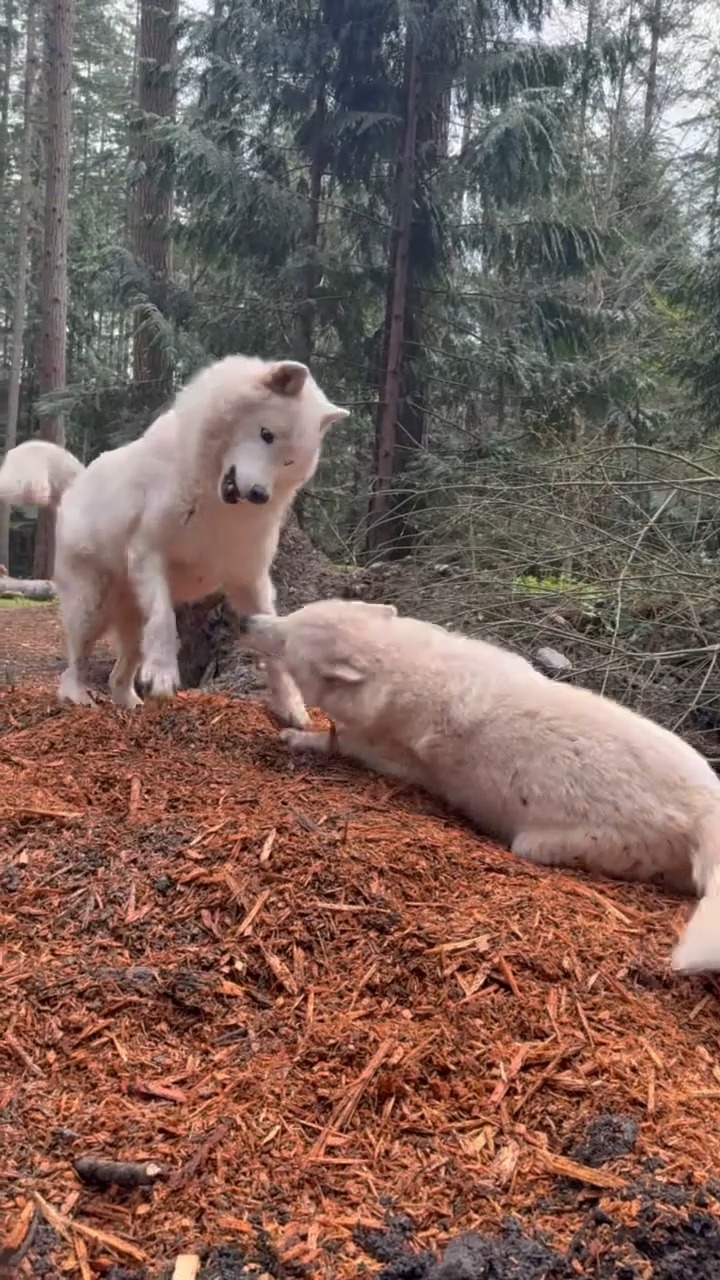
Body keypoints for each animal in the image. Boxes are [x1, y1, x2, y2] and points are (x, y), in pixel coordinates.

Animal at [0, 356, 348, 724]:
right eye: (266, 434)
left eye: (288, 461)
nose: (258, 494)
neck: (214, 508)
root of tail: (75, 484)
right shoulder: (148, 554)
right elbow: (165, 620)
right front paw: (164, 675)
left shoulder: (249, 582)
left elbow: (276, 654)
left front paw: (293, 709)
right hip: (89, 609)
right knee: (74, 666)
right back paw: (77, 697)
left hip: (130, 628)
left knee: (117, 676)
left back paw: (131, 705)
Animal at [237, 598, 720, 973]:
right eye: (295, 611)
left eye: (287, 637)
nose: (245, 620)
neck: (403, 668)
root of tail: (706, 805)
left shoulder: (387, 758)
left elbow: (335, 742)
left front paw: (297, 737)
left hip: (542, 845)